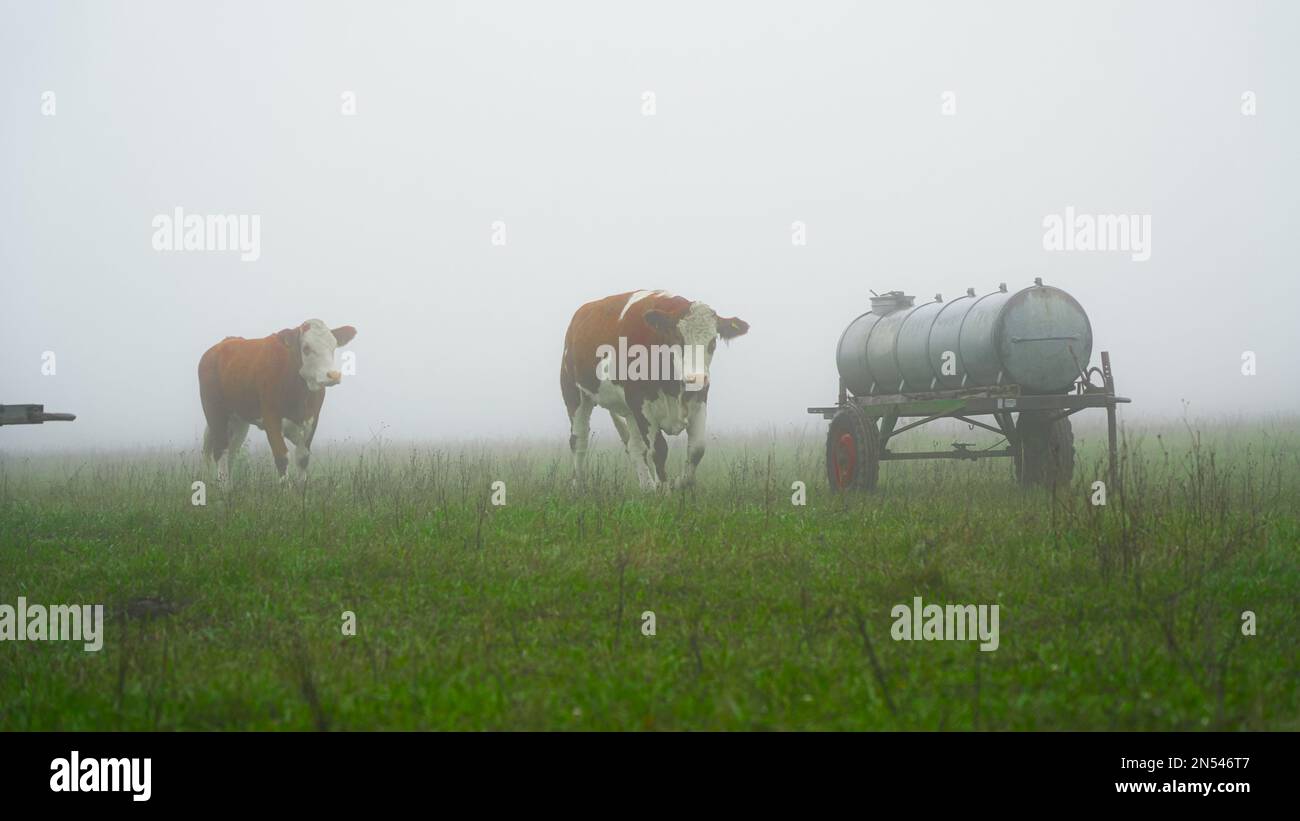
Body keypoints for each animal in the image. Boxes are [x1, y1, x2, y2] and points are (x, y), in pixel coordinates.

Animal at [198, 319, 356, 487]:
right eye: (306, 348)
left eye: (334, 345)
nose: (333, 375)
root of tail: (222, 344)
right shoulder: (271, 418)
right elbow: (282, 457)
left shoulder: (312, 419)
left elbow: (303, 458)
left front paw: (302, 490)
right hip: (214, 412)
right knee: (220, 450)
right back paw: (223, 488)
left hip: (239, 420)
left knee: (232, 452)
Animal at [560, 290, 749, 490]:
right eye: (678, 339)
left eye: (712, 342)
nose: (696, 378)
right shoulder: (641, 404)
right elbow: (659, 450)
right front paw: (664, 490)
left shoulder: (698, 400)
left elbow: (697, 449)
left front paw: (679, 483)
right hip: (574, 395)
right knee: (579, 440)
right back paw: (578, 487)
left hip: (629, 411)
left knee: (634, 446)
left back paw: (647, 488)